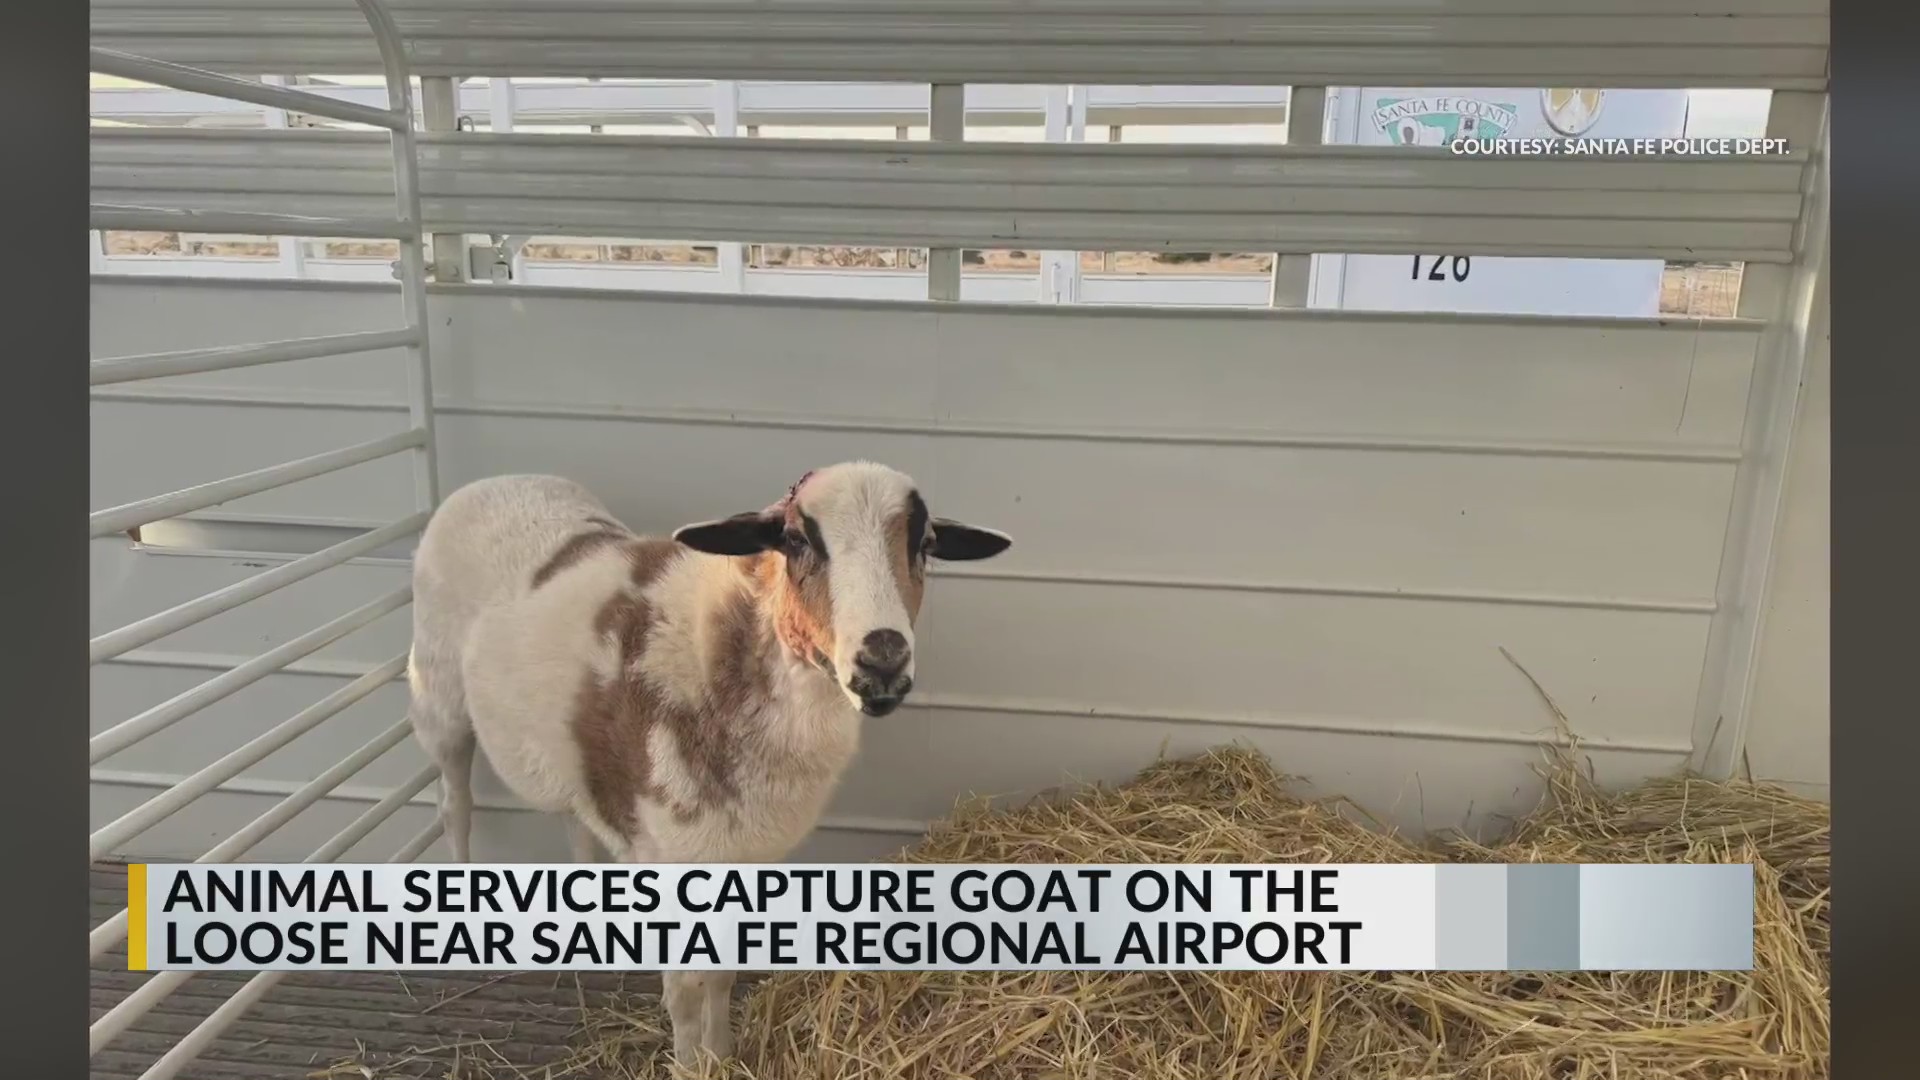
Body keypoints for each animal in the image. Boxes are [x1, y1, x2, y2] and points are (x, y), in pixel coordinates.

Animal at [404, 461, 1011, 1064]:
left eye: (925, 544)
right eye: (795, 540)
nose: (882, 662)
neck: (726, 653)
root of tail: (495, 481)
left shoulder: (738, 854)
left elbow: (721, 973)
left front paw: (721, 1055)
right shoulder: (671, 853)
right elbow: (685, 991)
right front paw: (690, 1063)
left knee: (575, 823)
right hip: (438, 697)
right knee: (453, 804)